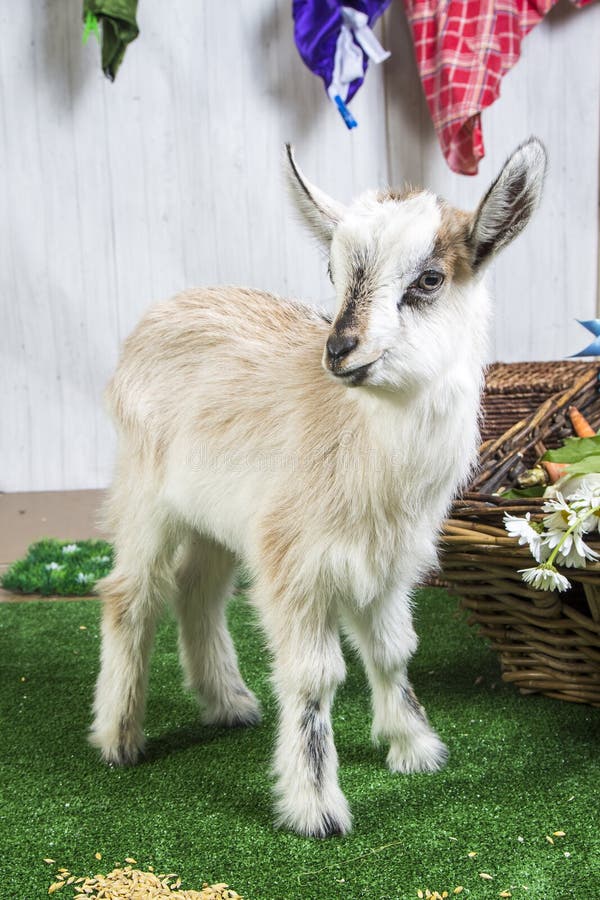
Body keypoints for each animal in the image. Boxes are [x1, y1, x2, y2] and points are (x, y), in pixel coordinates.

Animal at [90, 139, 546, 837]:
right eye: (332, 272)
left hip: (219, 516)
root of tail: (161, 311)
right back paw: (118, 738)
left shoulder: (386, 563)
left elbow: (393, 650)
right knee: (130, 596)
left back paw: (229, 703)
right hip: (145, 492)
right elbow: (314, 677)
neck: (364, 440)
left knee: (198, 590)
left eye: (430, 279)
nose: (339, 349)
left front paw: (415, 748)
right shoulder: (295, 565)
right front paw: (316, 806)